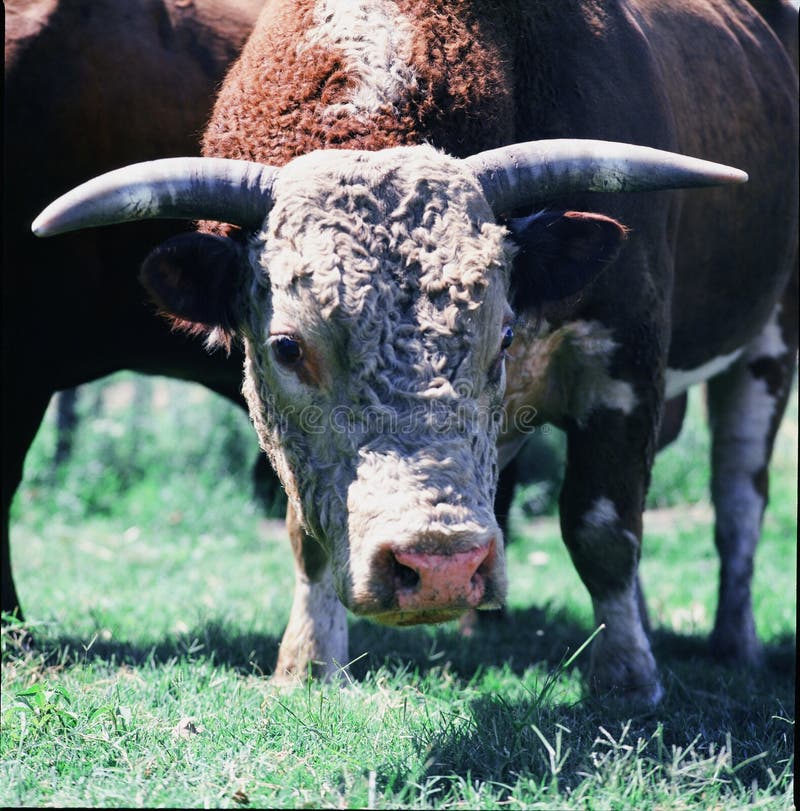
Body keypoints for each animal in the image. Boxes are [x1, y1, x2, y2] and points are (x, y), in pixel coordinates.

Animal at [30, 0, 798, 706]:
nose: (439, 570)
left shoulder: (625, 360)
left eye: (504, 336)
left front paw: (629, 678)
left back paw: (733, 642)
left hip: (768, 345)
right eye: (287, 347)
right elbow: (308, 535)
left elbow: (604, 527)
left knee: (737, 500)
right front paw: (309, 663)